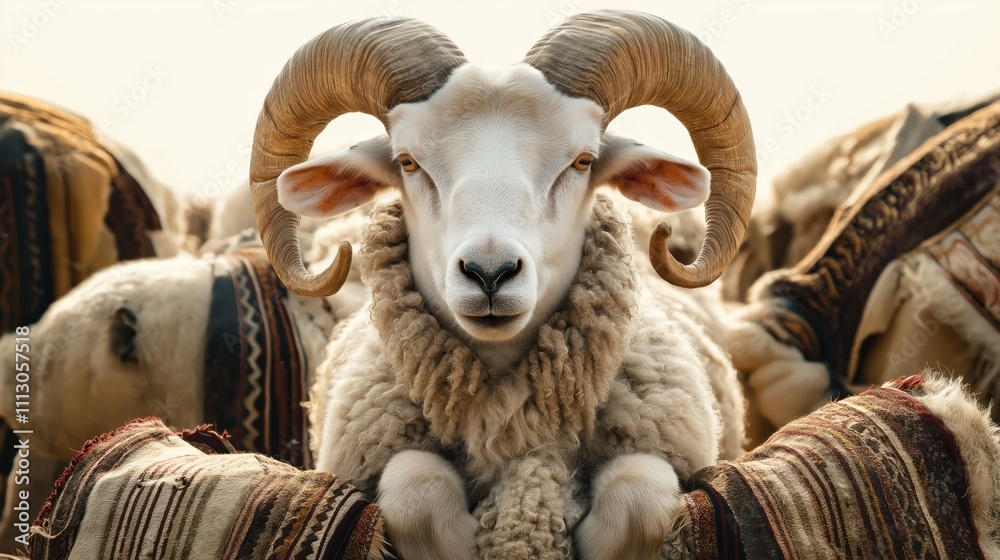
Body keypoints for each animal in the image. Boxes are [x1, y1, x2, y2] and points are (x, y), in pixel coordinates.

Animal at [249, 11, 754, 559]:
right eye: (407, 162)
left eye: (583, 161)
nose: (489, 273)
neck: (507, 412)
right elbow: (415, 487)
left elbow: (637, 494)